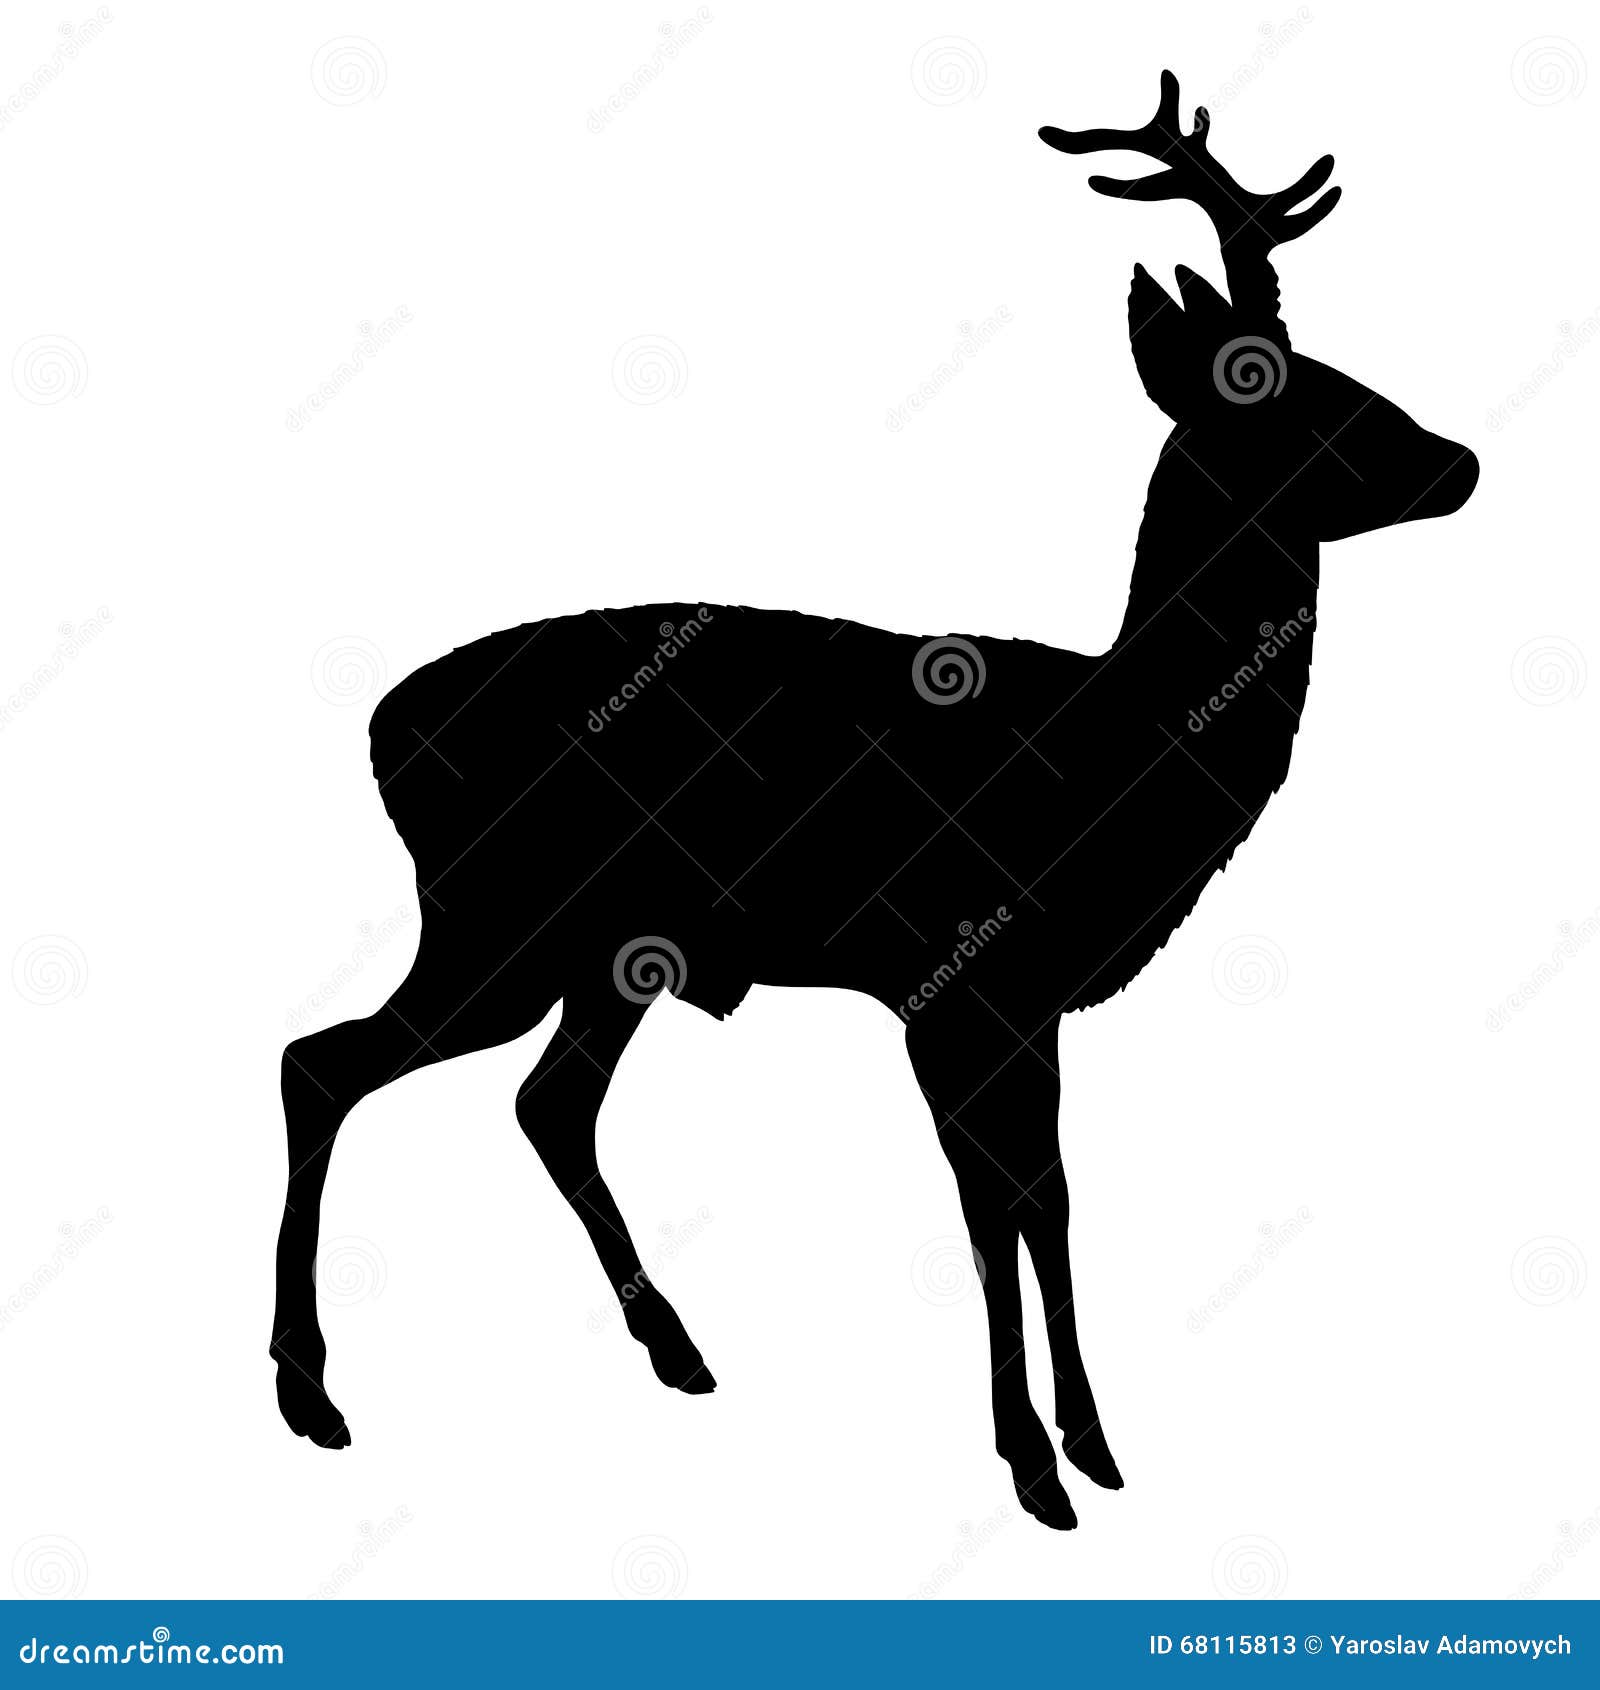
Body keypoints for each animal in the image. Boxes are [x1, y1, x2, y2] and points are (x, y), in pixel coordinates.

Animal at [273, 73, 1477, 1531]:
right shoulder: (952, 978)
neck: (1111, 751)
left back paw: (677, 1349)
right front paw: (1030, 1465)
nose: (1460, 460)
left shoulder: (1029, 1000)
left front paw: (1096, 1445)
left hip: (602, 949)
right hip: (493, 914)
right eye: (1271, 384)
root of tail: (382, 727)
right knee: (321, 1060)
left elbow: (1050, 1196)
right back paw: (310, 1396)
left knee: (543, 1103)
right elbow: (987, 1205)